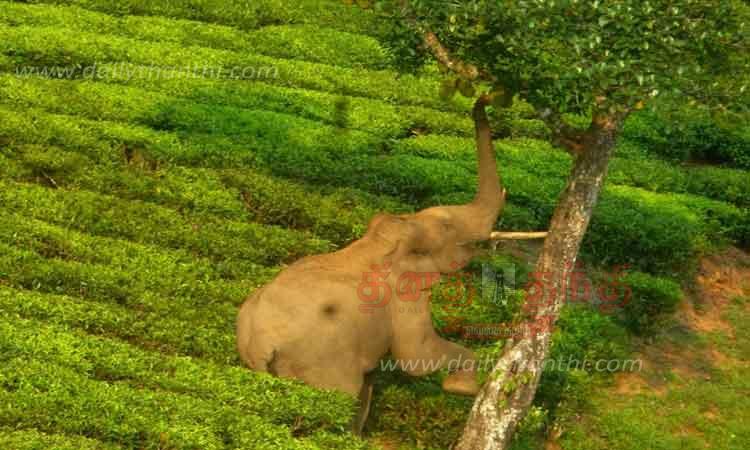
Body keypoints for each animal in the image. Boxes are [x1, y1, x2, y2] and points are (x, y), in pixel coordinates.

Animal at [236, 95, 505, 431]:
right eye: (447, 228)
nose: (484, 96)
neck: (381, 241)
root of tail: (259, 345)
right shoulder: (403, 299)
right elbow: (416, 354)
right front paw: (463, 387)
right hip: (321, 363)